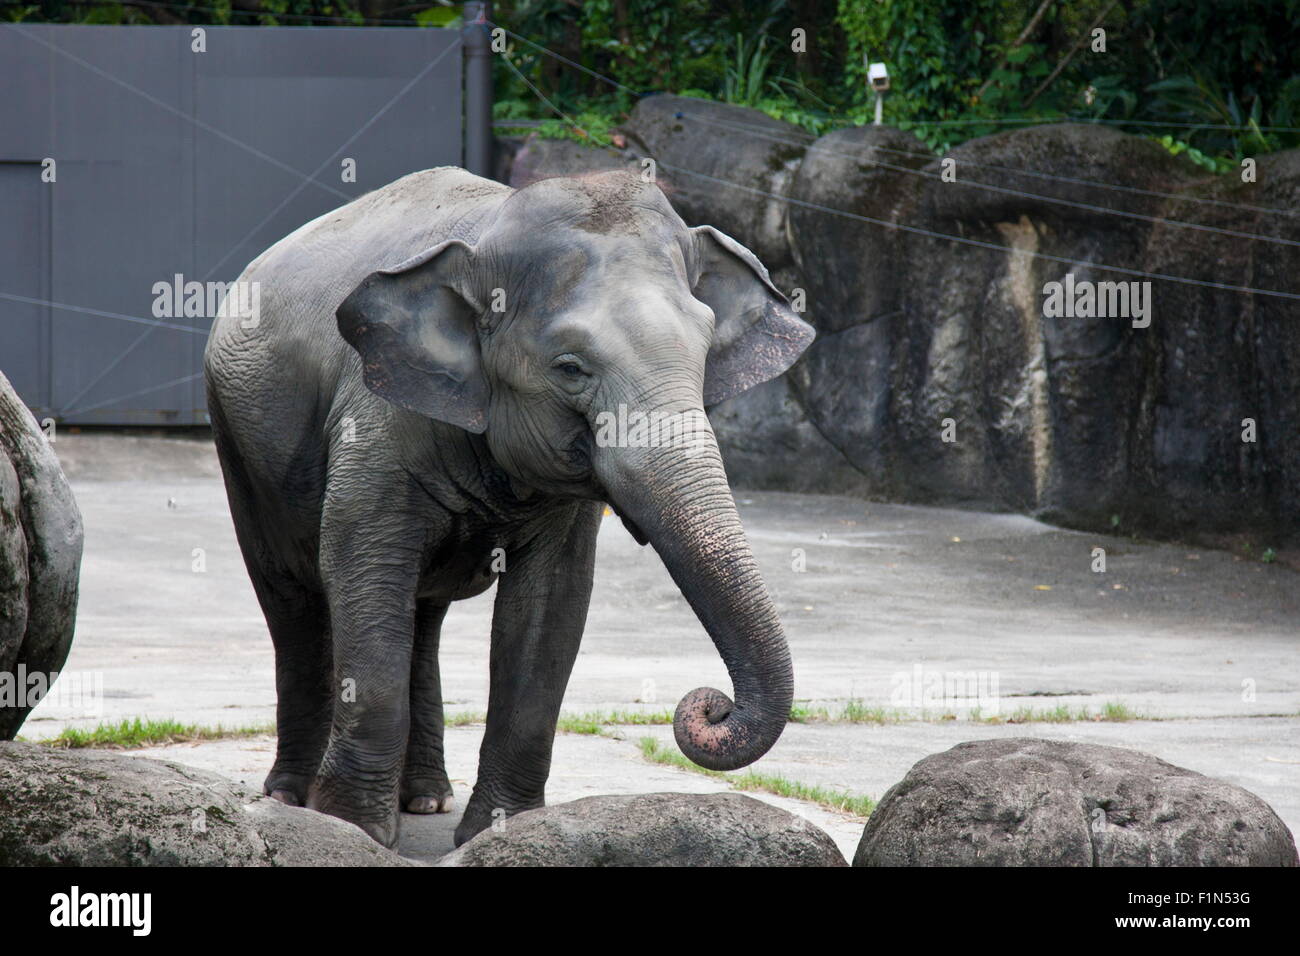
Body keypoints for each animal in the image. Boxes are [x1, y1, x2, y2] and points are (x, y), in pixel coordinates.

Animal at [203, 166, 814, 848]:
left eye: (705, 356)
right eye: (570, 368)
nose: (711, 705)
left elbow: (552, 606)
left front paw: (502, 833)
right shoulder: (373, 423)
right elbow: (361, 572)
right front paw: (352, 830)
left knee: (423, 616)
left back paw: (426, 799)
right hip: (237, 444)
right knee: (291, 601)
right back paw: (290, 797)